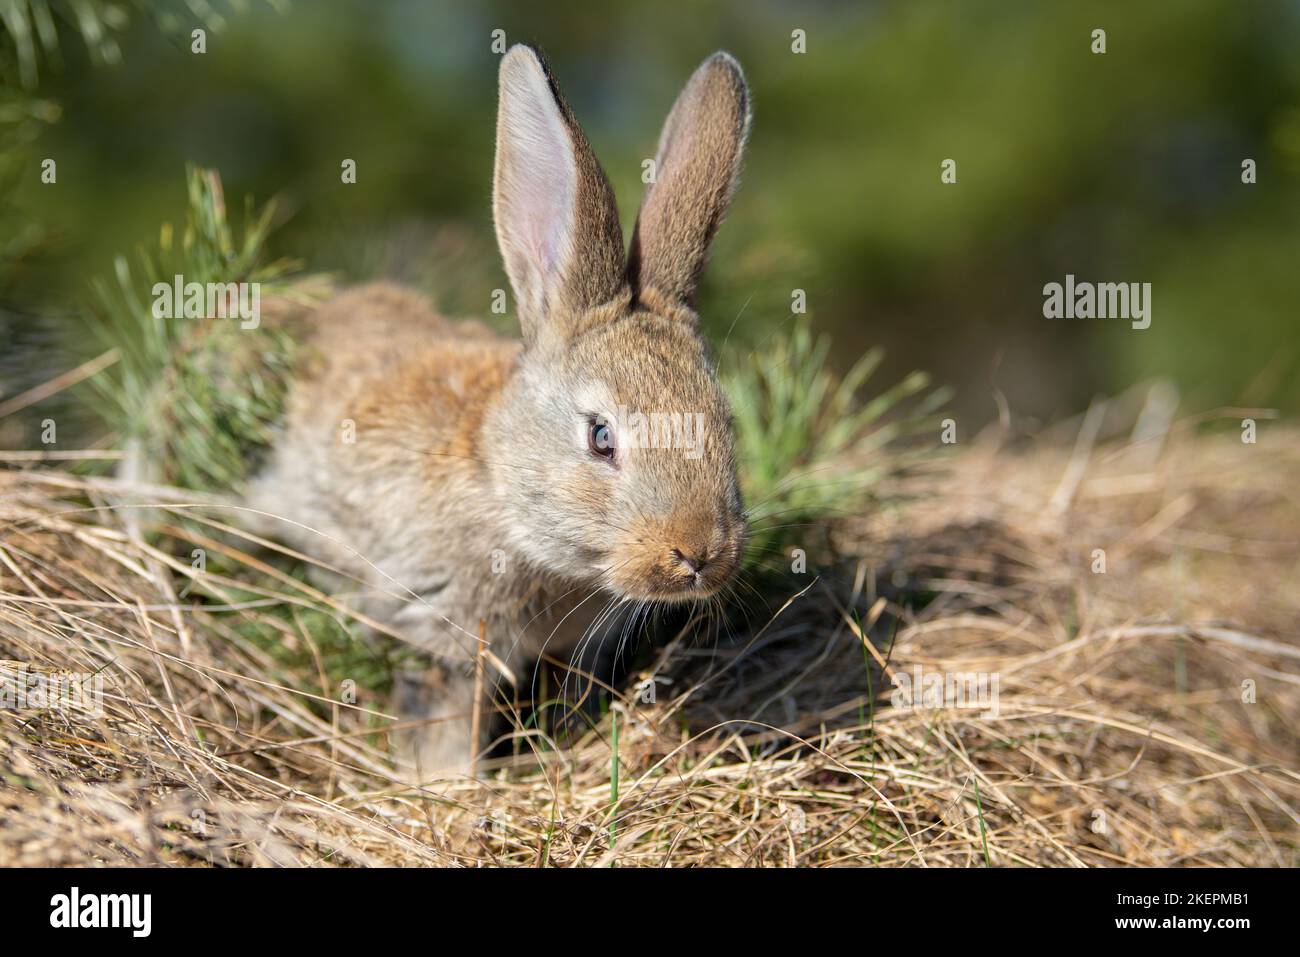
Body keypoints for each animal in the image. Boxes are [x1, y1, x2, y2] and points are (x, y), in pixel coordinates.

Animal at [248, 44, 752, 778]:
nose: (700, 554)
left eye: (725, 422)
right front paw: (451, 786)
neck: (500, 492)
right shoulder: (440, 630)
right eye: (601, 437)